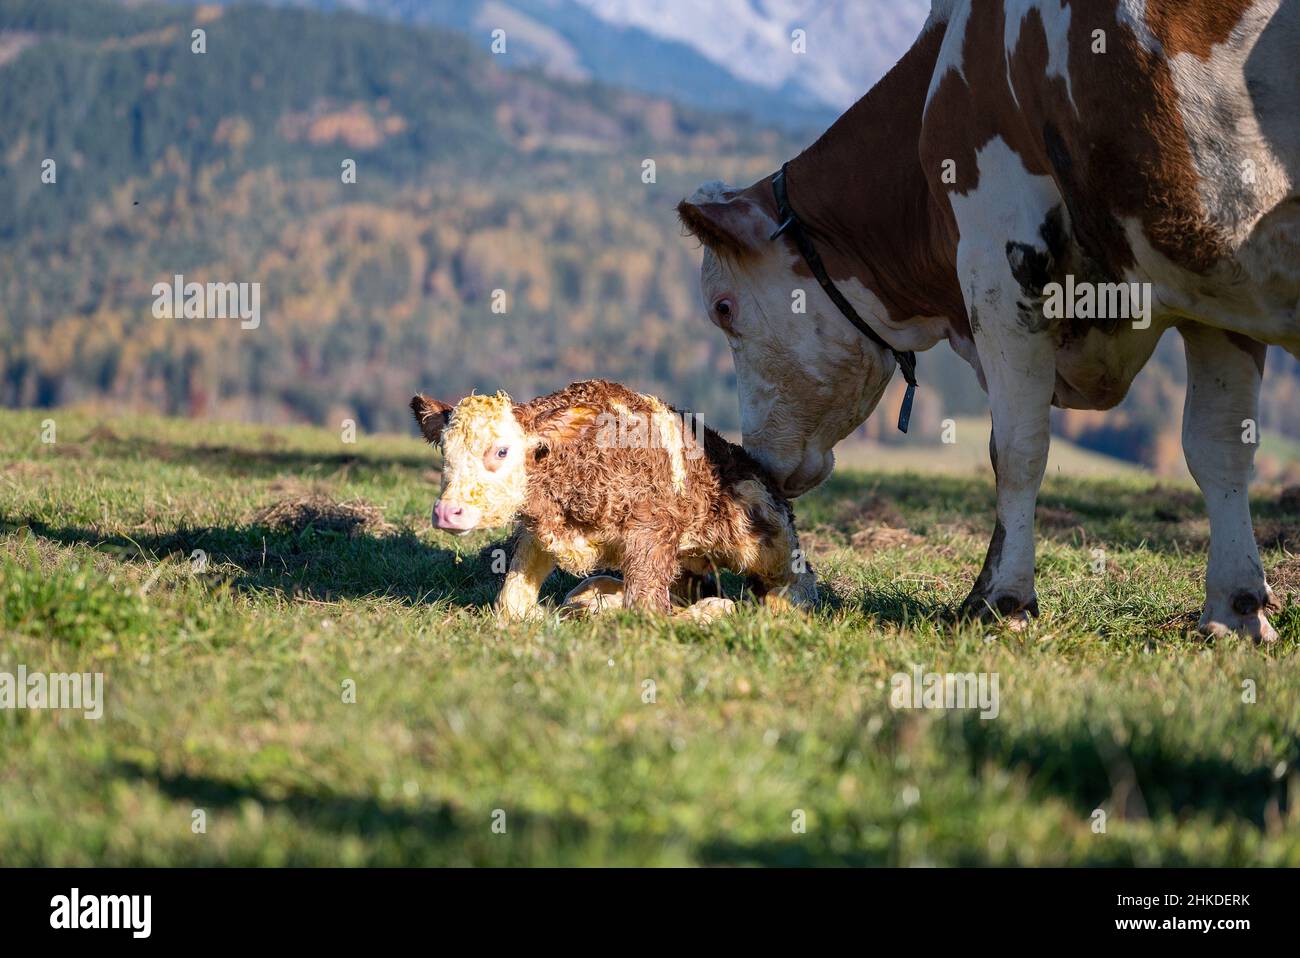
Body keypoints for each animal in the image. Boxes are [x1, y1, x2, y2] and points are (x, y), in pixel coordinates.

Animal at [410, 380, 817, 619]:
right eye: (445, 450)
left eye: (501, 451)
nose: (447, 512)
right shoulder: (541, 527)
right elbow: (512, 602)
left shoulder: (653, 531)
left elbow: (647, 612)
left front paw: (715, 611)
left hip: (764, 533)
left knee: (800, 577)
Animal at [677, 0, 1298, 640]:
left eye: (723, 308)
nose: (755, 461)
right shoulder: (1215, 287)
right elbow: (1219, 446)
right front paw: (1235, 611)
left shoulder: (998, 259)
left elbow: (1018, 449)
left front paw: (1003, 599)